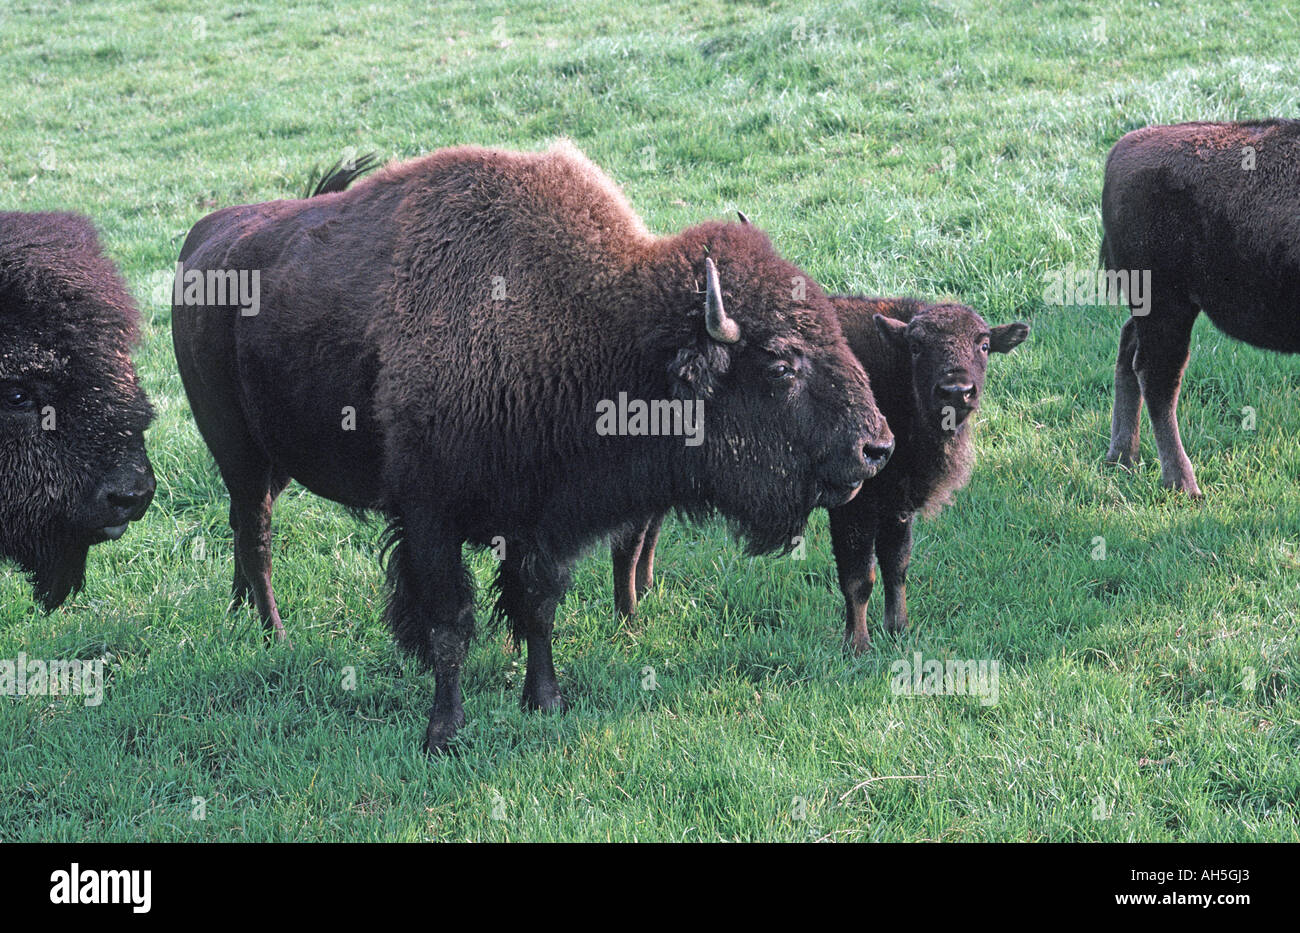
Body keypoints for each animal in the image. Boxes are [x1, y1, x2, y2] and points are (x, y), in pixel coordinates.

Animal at [172, 142, 894, 751]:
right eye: (780, 363)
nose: (876, 447)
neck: (601, 331)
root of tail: (202, 238)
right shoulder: (429, 518)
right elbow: (450, 623)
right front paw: (443, 732)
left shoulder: (545, 520)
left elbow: (539, 606)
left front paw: (544, 701)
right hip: (237, 453)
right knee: (257, 535)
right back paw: (273, 632)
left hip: (270, 464)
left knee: (245, 531)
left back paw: (244, 613)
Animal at [614, 295, 1028, 652]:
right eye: (916, 346)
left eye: (984, 345)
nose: (956, 390)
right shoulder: (853, 508)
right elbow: (860, 578)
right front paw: (857, 646)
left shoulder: (898, 508)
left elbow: (897, 567)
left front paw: (898, 630)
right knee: (628, 544)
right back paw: (629, 620)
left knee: (649, 532)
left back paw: (646, 593)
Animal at [1103, 119, 1300, 496]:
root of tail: (1126, 145)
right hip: (1168, 309)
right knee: (1158, 379)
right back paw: (1183, 485)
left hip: (1153, 308)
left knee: (1128, 350)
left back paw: (1122, 458)